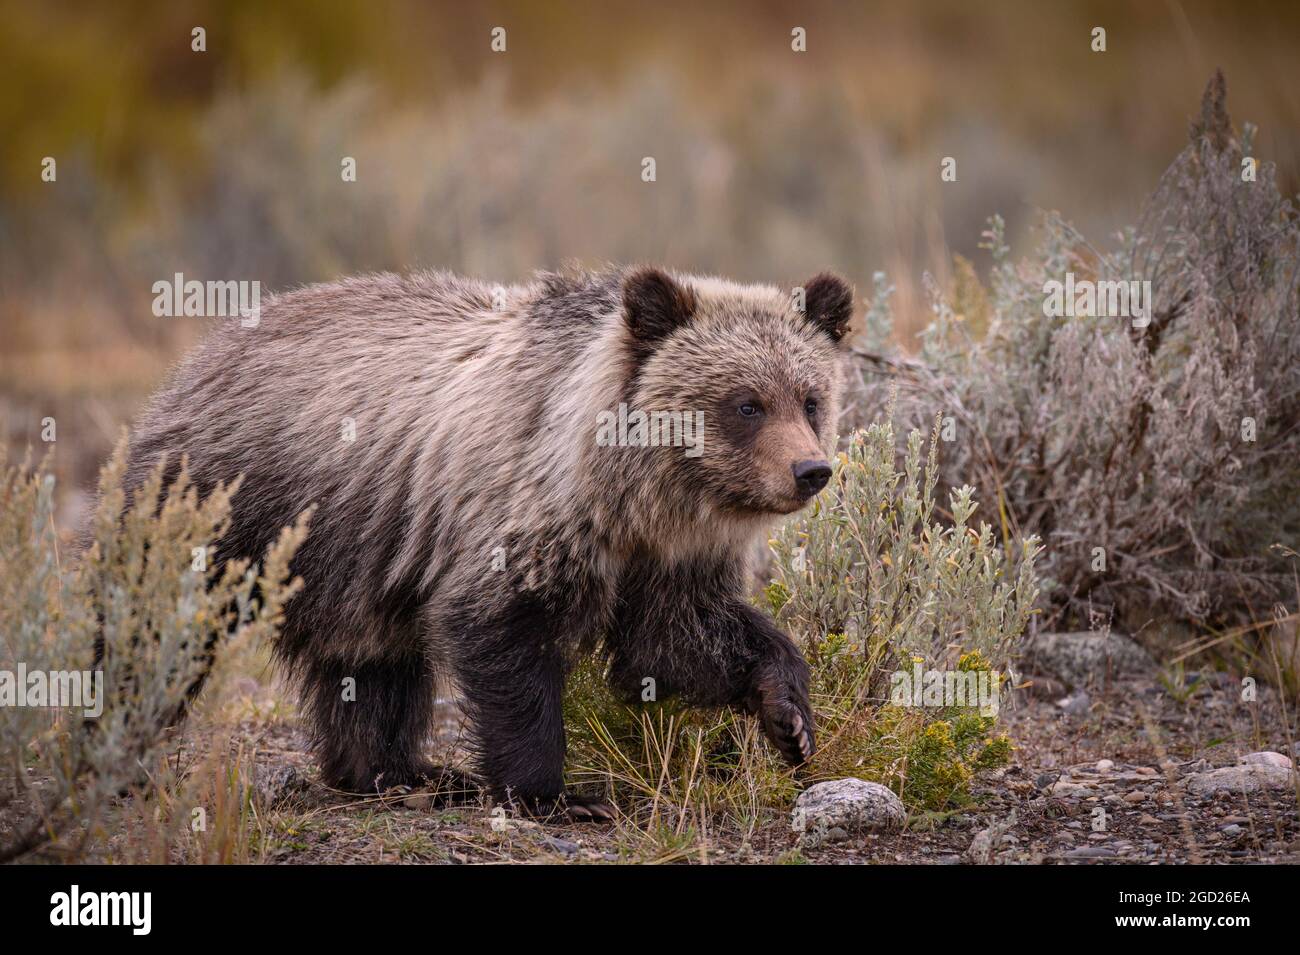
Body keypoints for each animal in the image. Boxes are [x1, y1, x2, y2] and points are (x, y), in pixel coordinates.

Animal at [120, 265, 853, 820]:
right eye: (746, 403)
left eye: (810, 397)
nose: (811, 470)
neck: (633, 499)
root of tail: (197, 359)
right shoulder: (518, 516)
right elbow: (507, 640)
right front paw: (556, 794)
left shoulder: (668, 559)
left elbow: (679, 637)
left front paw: (789, 716)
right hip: (232, 507)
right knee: (153, 623)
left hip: (358, 560)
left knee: (373, 666)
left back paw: (402, 772)